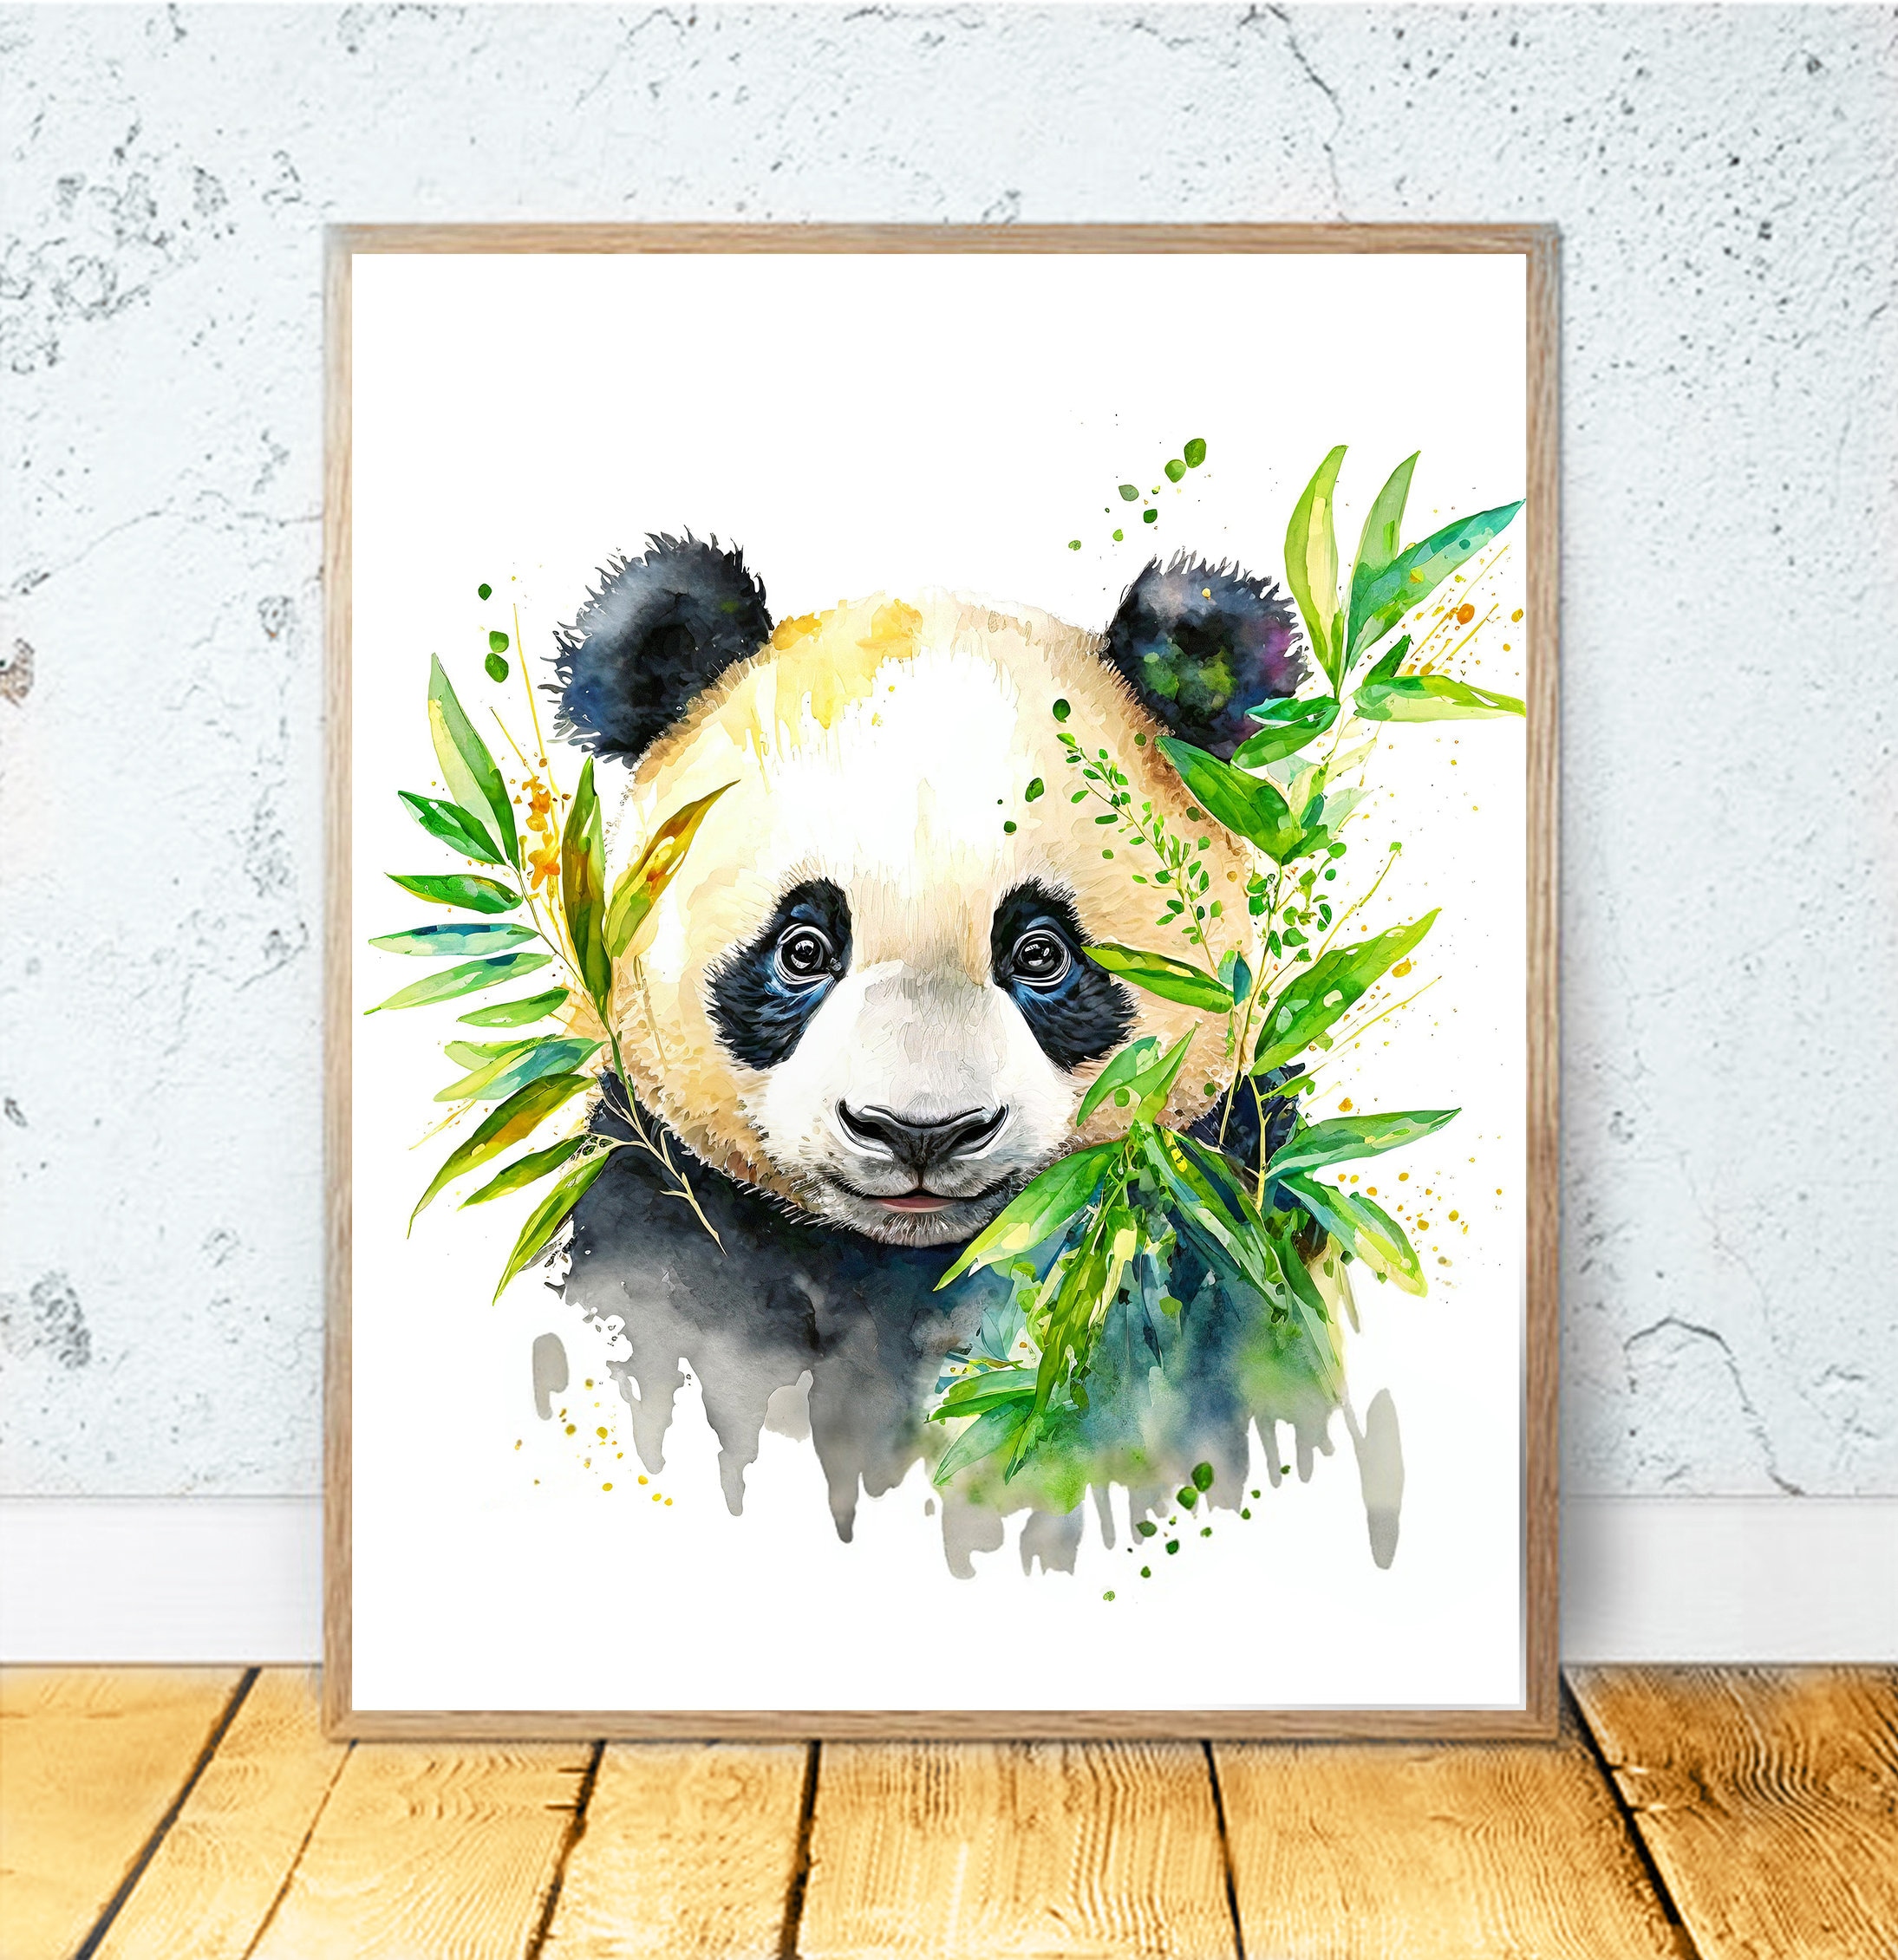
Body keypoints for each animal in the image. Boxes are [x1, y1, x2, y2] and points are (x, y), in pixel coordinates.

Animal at [548, 534, 1349, 1568]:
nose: (918, 1131)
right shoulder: (665, 1216)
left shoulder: (1217, 1211)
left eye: (1040, 952)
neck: (911, 1267)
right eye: (802, 947)